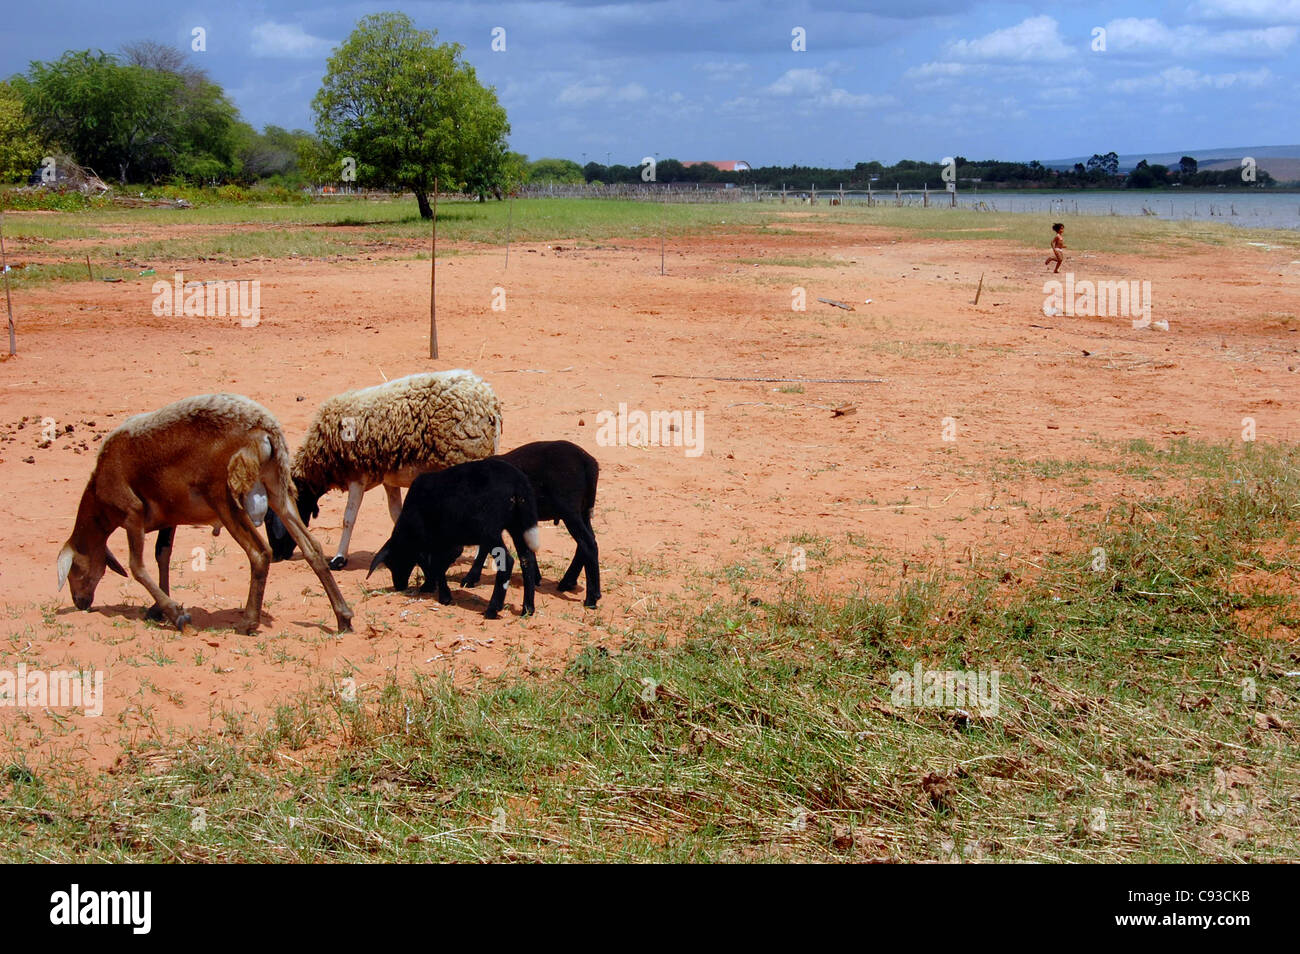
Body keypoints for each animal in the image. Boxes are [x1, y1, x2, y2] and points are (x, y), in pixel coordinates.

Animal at [56, 394, 353, 635]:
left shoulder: (132, 513)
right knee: (311, 547)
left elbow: (138, 567)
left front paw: (177, 615)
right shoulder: (169, 516)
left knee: (259, 553)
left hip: (224, 497)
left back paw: (248, 623)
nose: (80, 603)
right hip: (277, 487)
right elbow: (162, 556)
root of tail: (266, 430)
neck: (99, 498)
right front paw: (158, 609)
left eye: (73, 570)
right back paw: (343, 617)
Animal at [266, 370, 502, 569]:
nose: (276, 556)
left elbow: (348, 518)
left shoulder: (357, 476)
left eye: (269, 519)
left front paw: (339, 559)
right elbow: (396, 515)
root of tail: (491, 402)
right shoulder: (389, 480)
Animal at [367, 458, 540, 619]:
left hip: (489, 530)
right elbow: (436, 565)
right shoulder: (448, 544)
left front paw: (443, 596)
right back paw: (528, 609)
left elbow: (435, 565)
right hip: (519, 525)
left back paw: (492, 610)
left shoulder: (437, 541)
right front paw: (431, 587)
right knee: (527, 559)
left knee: (507, 561)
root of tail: (518, 483)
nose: (399, 586)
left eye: (393, 562)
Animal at [460, 441, 600, 608]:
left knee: (588, 544)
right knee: (586, 543)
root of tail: (588, 462)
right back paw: (568, 583)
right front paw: (536, 577)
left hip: (569, 509)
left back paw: (591, 597)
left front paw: (470, 578)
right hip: (584, 510)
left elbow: (484, 548)